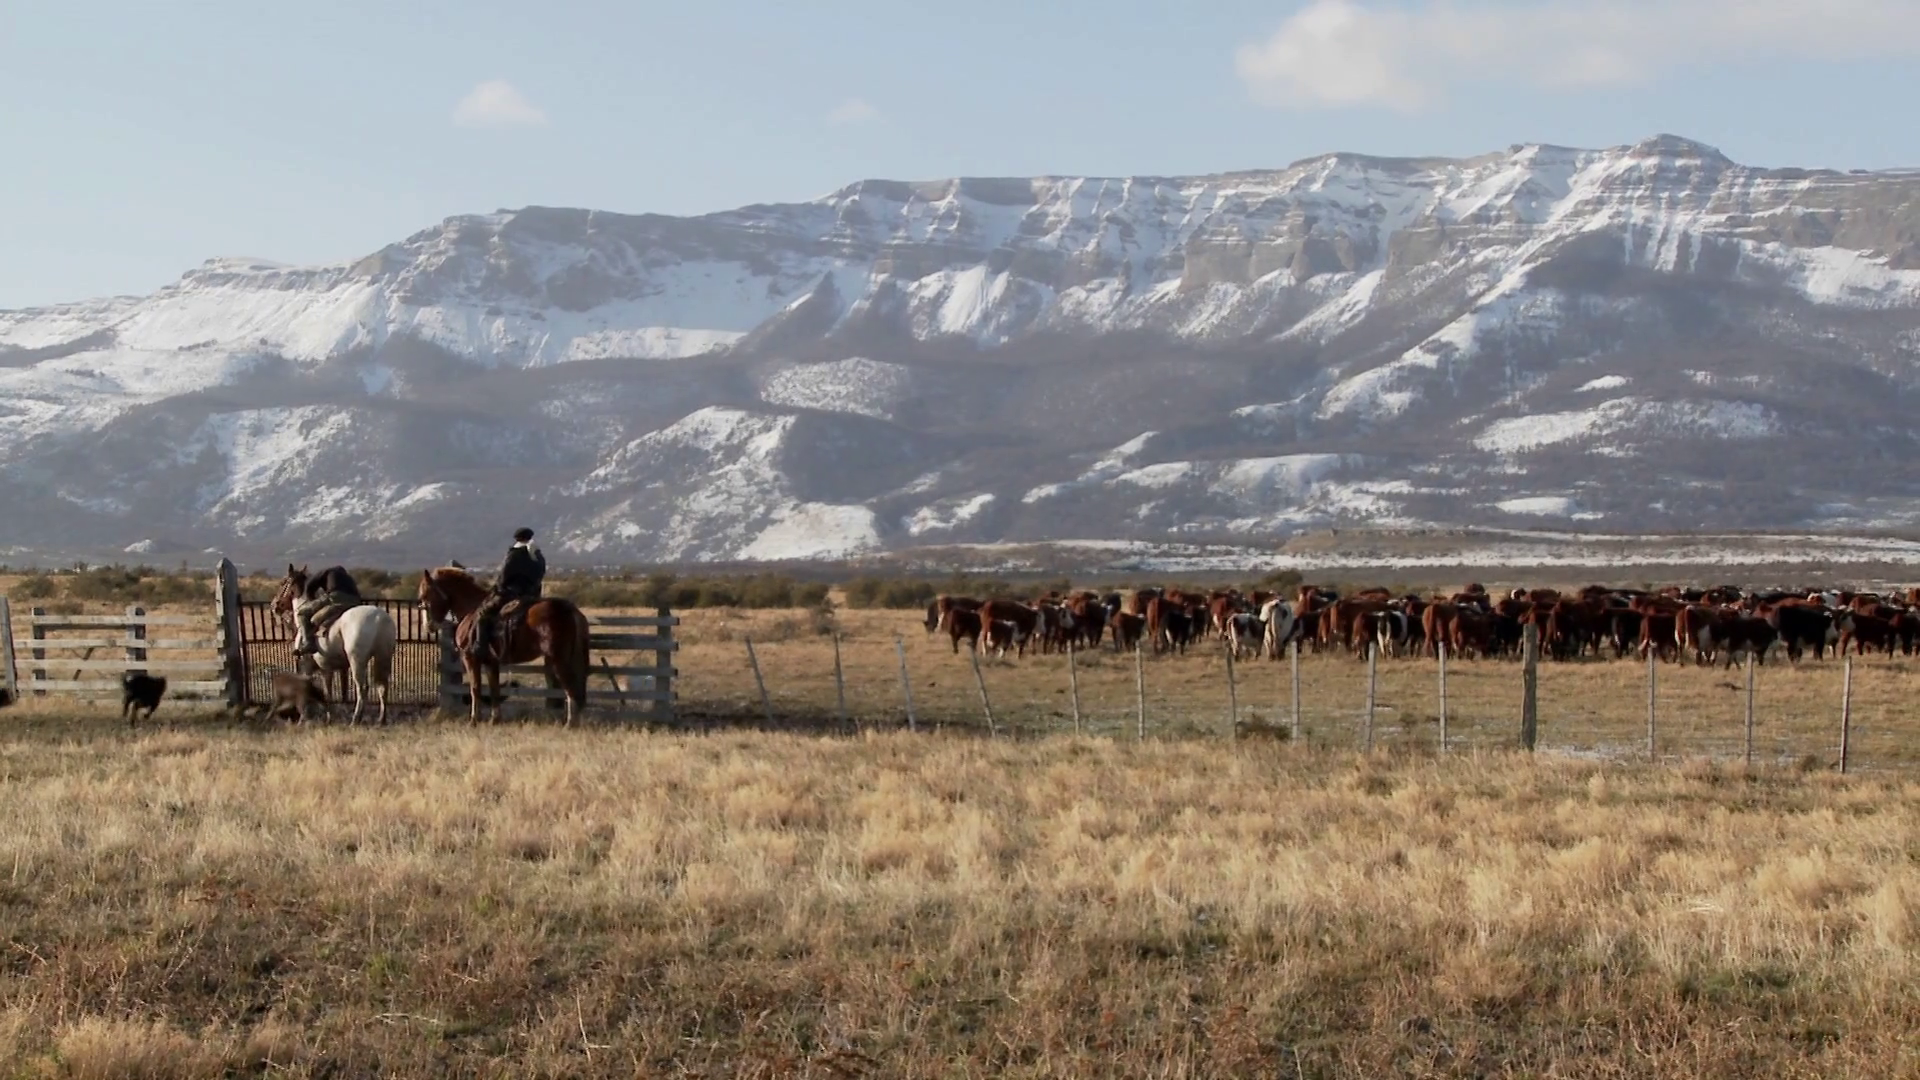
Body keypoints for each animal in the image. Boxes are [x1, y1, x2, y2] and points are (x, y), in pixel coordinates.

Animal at [416, 567, 591, 725]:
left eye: (425, 595)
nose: (428, 626)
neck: (471, 608)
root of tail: (570, 609)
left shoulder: (470, 659)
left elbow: (475, 688)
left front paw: (474, 720)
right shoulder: (491, 662)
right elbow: (494, 689)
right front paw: (495, 719)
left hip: (559, 660)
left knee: (571, 689)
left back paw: (570, 724)